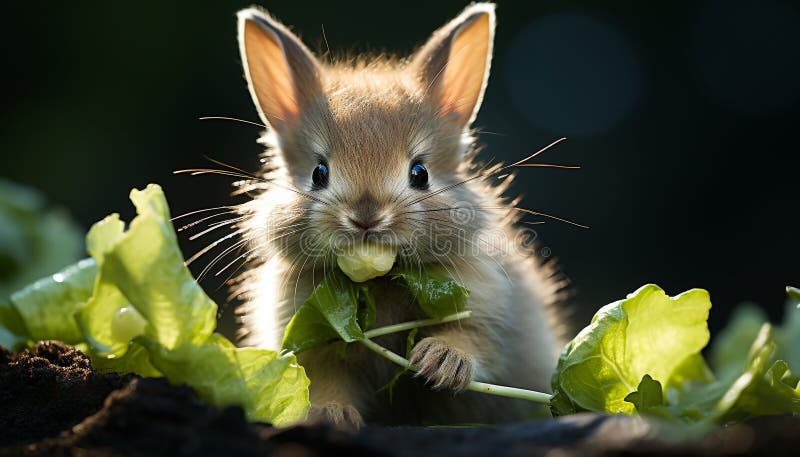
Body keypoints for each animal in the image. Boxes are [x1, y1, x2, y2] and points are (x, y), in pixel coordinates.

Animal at [232, 3, 569, 428]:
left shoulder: (488, 310)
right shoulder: (311, 342)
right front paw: (332, 415)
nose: (366, 218)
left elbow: (473, 340)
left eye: (419, 173)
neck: (382, 282)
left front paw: (440, 362)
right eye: (318, 173)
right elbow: (322, 379)